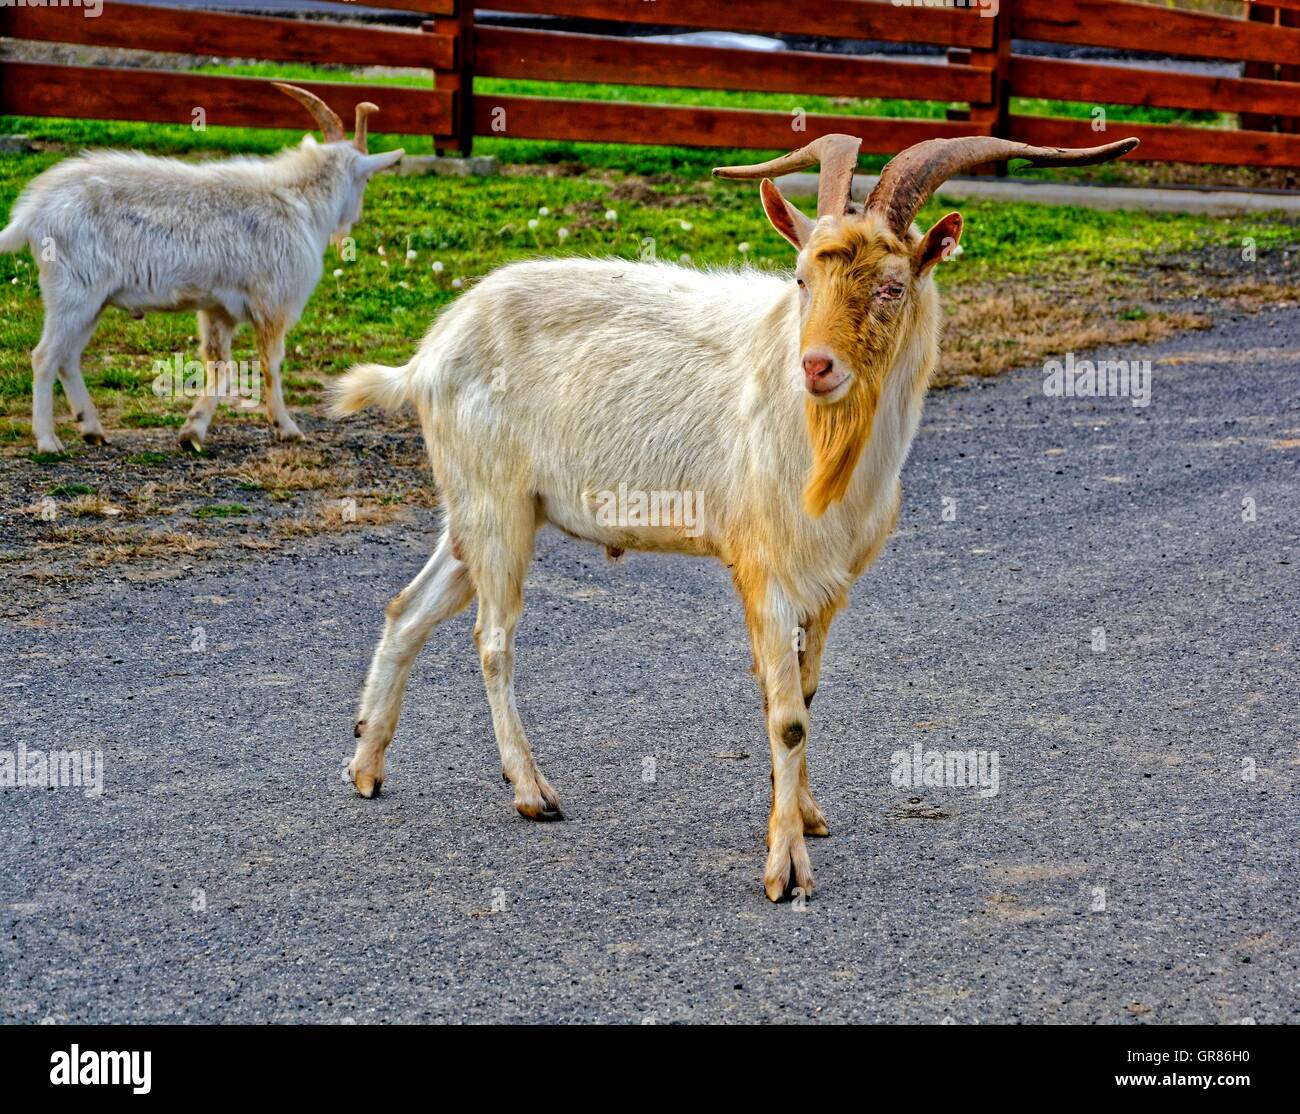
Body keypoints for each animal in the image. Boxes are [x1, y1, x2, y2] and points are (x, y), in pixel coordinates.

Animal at [0, 84, 403, 453]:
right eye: (366, 179)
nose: (354, 219)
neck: (299, 200)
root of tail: (32, 213)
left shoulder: (218, 308)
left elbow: (218, 364)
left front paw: (191, 433)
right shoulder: (273, 302)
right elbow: (270, 364)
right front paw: (286, 427)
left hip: (91, 300)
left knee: (67, 357)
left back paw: (92, 429)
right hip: (74, 291)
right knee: (45, 356)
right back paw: (48, 441)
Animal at [330, 132, 1138, 901]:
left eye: (891, 285)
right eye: (803, 278)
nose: (816, 366)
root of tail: (427, 355)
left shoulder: (831, 582)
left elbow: (802, 693)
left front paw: (806, 814)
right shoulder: (765, 567)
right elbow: (785, 714)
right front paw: (786, 870)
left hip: (480, 510)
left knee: (408, 608)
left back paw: (366, 765)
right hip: (496, 504)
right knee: (492, 639)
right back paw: (532, 793)